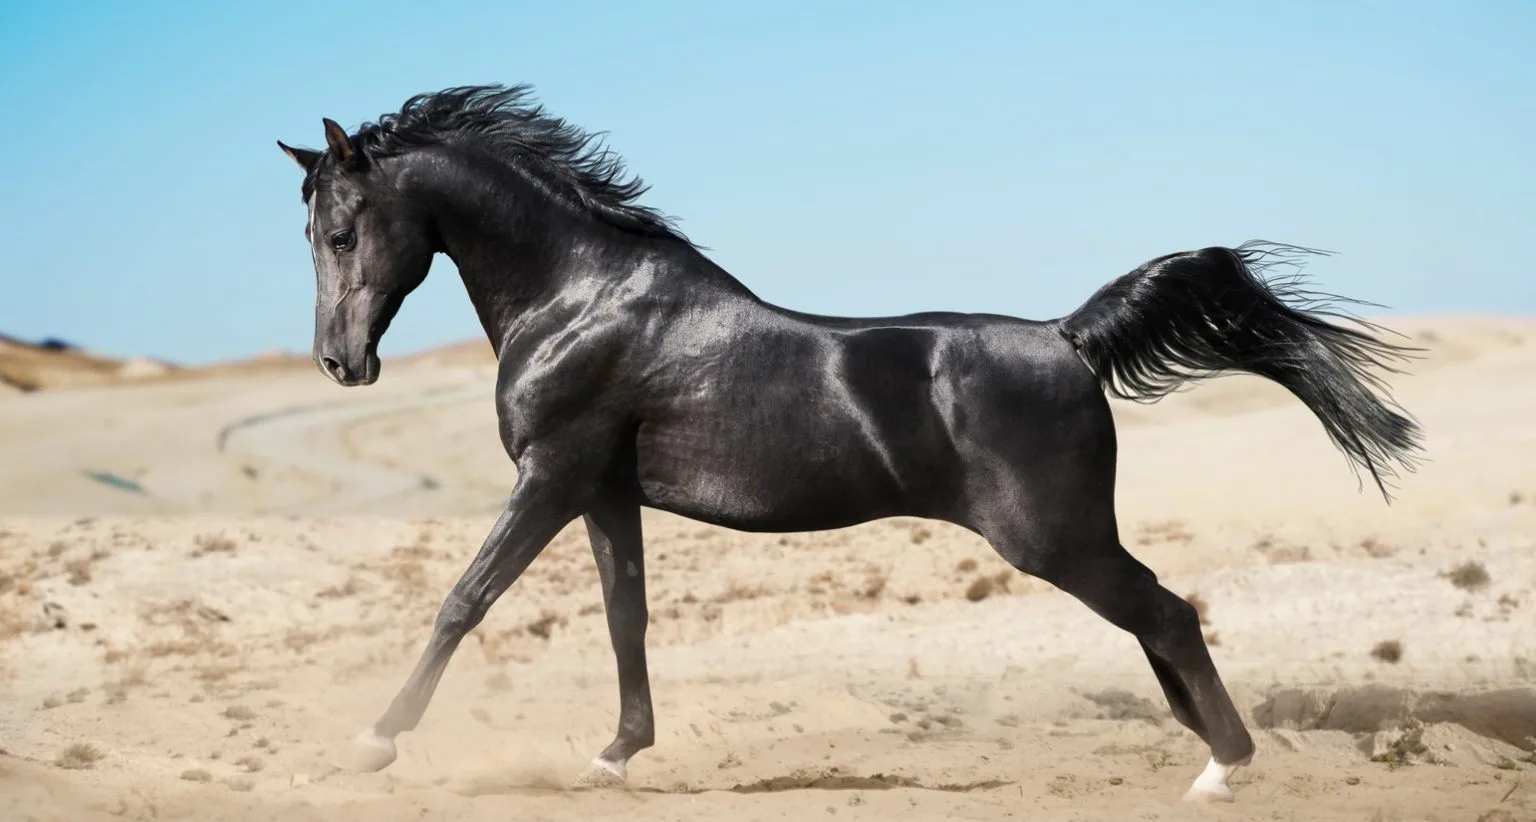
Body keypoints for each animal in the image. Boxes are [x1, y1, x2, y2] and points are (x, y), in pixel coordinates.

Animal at [275, 84, 1422, 803]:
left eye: (340, 230)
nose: (340, 363)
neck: (578, 297)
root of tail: (1065, 336)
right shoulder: (602, 492)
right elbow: (625, 621)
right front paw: (616, 756)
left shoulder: (550, 476)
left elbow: (464, 599)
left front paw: (373, 743)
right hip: (1071, 539)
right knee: (1157, 620)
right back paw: (1203, 747)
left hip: (1053, 538)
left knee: (1170, 614)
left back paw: (1222, 768)